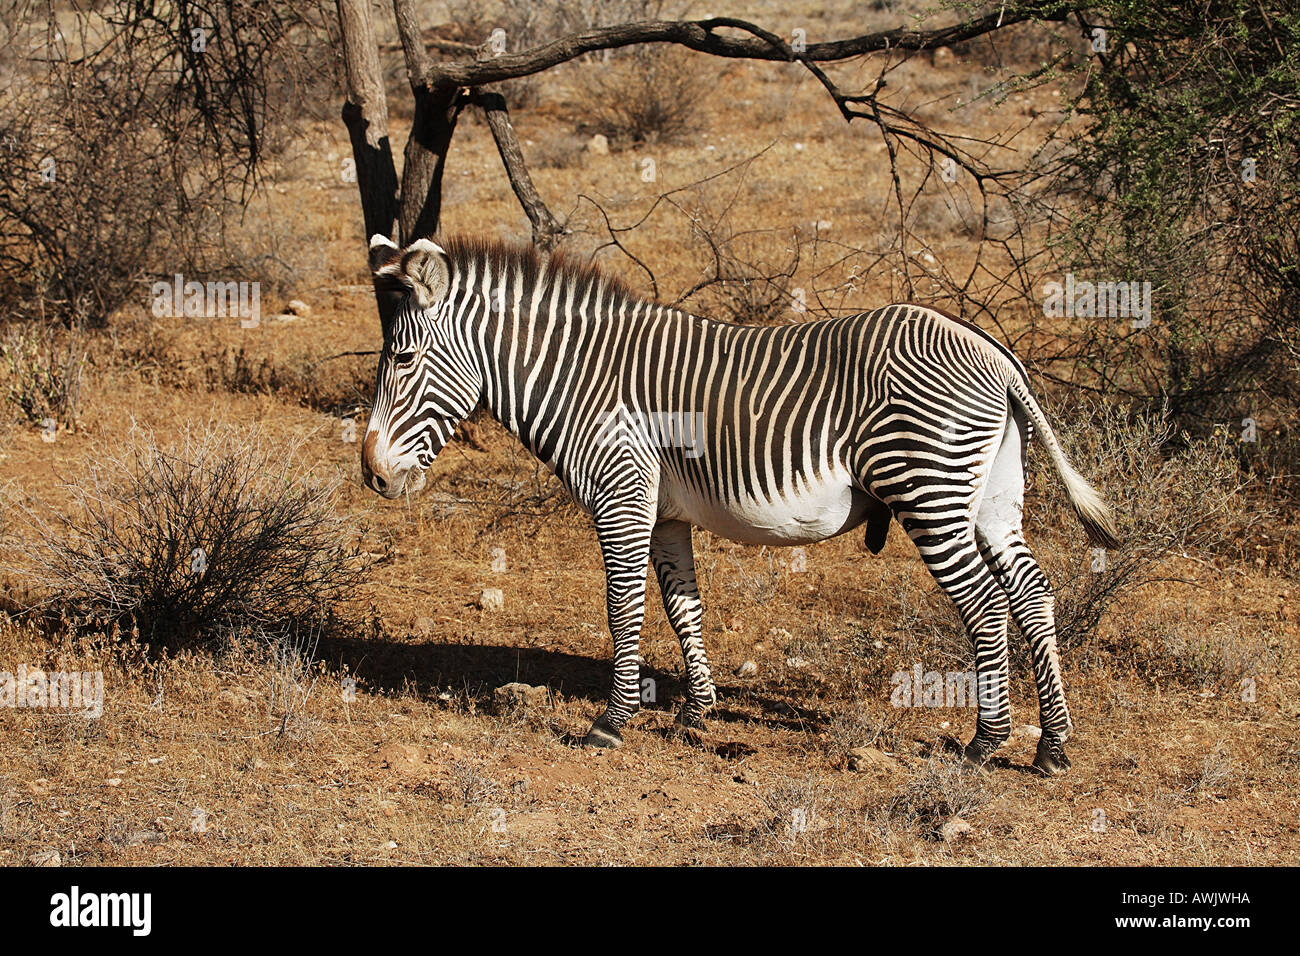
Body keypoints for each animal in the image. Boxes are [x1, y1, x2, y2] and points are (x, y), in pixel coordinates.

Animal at [360, 233, 1121, 775]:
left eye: (401, 361)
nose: (371, 475)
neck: (584, 379)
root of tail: (992, 351)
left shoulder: (620, 491)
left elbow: (622, 606)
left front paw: (612, 721)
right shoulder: (665, 511)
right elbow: (682, 605)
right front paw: (698, 713)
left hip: (927, 489)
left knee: (986, 605)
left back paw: (986, 742)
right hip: (993, 497)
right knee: (1032, 593)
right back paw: (1052, 746)